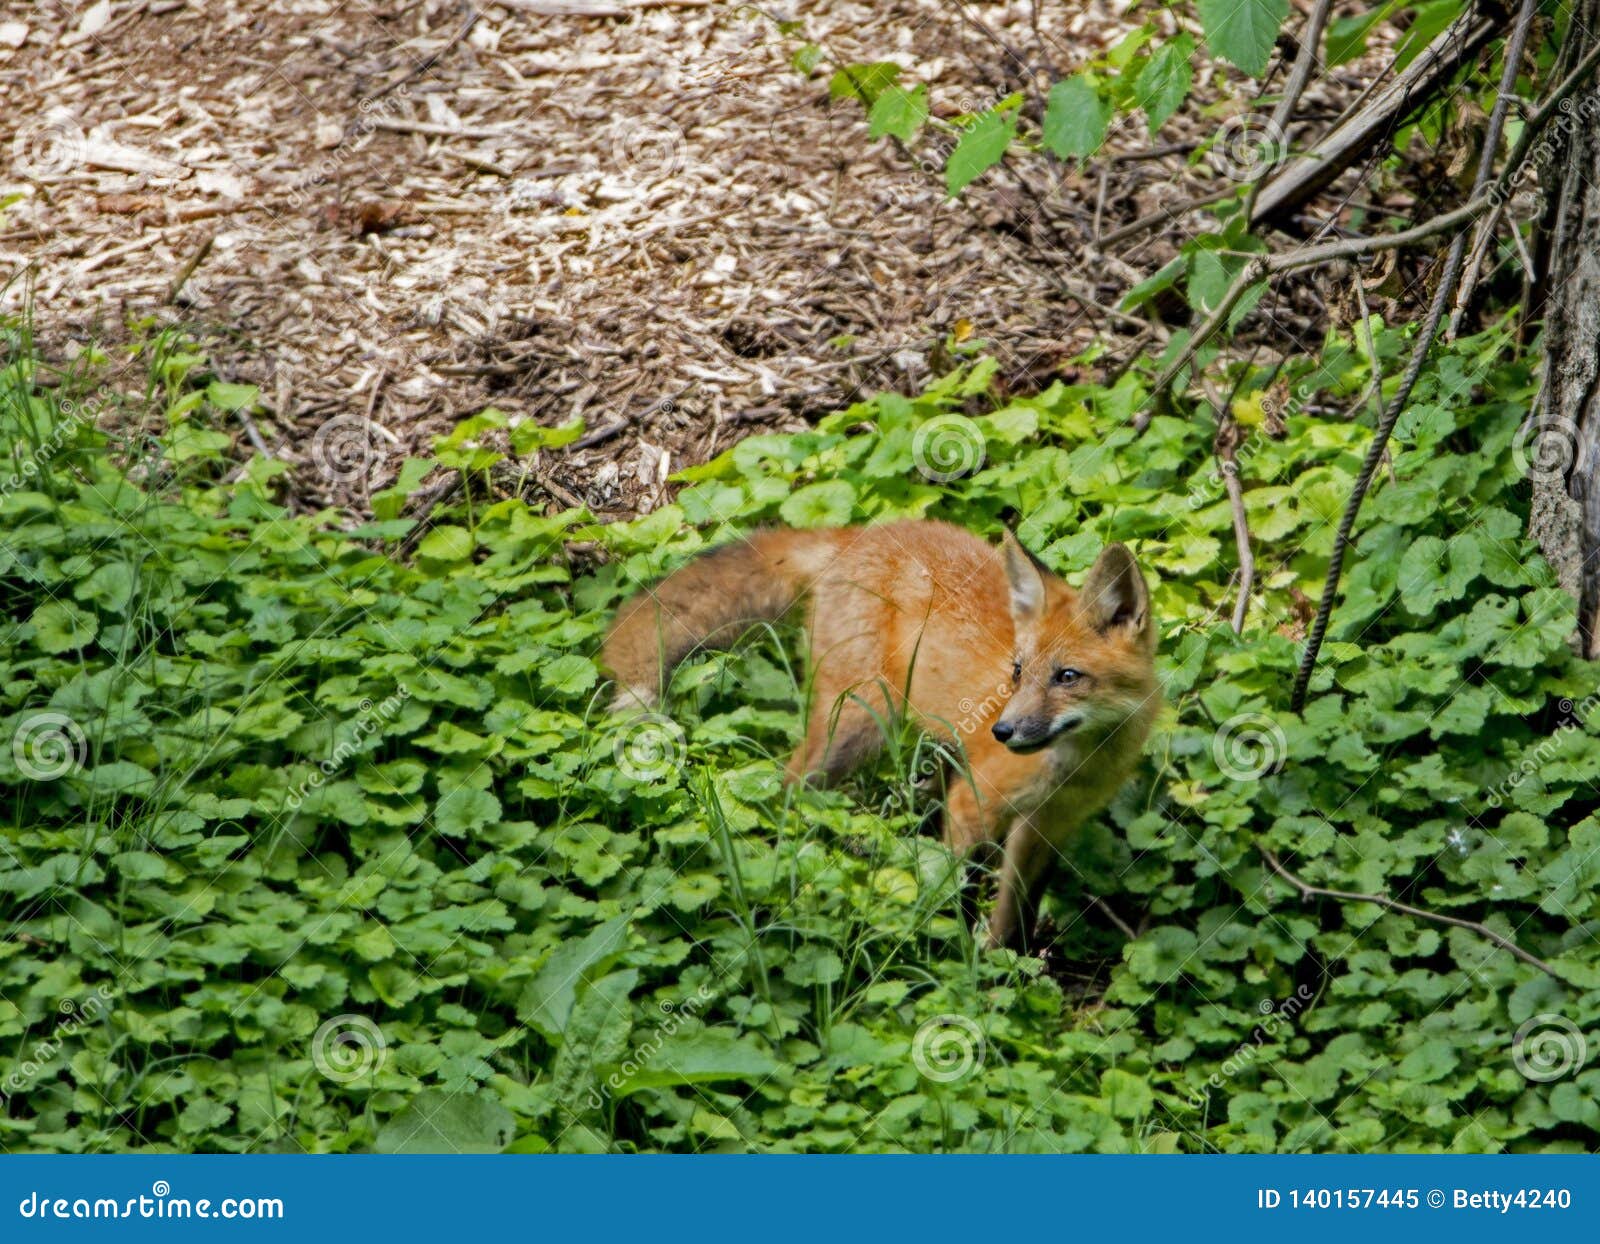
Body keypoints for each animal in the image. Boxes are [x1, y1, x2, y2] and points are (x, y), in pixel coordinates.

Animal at [602, 519, 1159, 948]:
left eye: (1067, 677)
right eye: (1017, 673)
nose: (1003, 730)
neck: (1073, 770)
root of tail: (859, 533)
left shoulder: (1047, 828)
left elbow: (1014, 913)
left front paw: (1007, 970)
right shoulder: (973, 806)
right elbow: (954, 888)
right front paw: (954, 957)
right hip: (860, 721)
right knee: (788, 784)